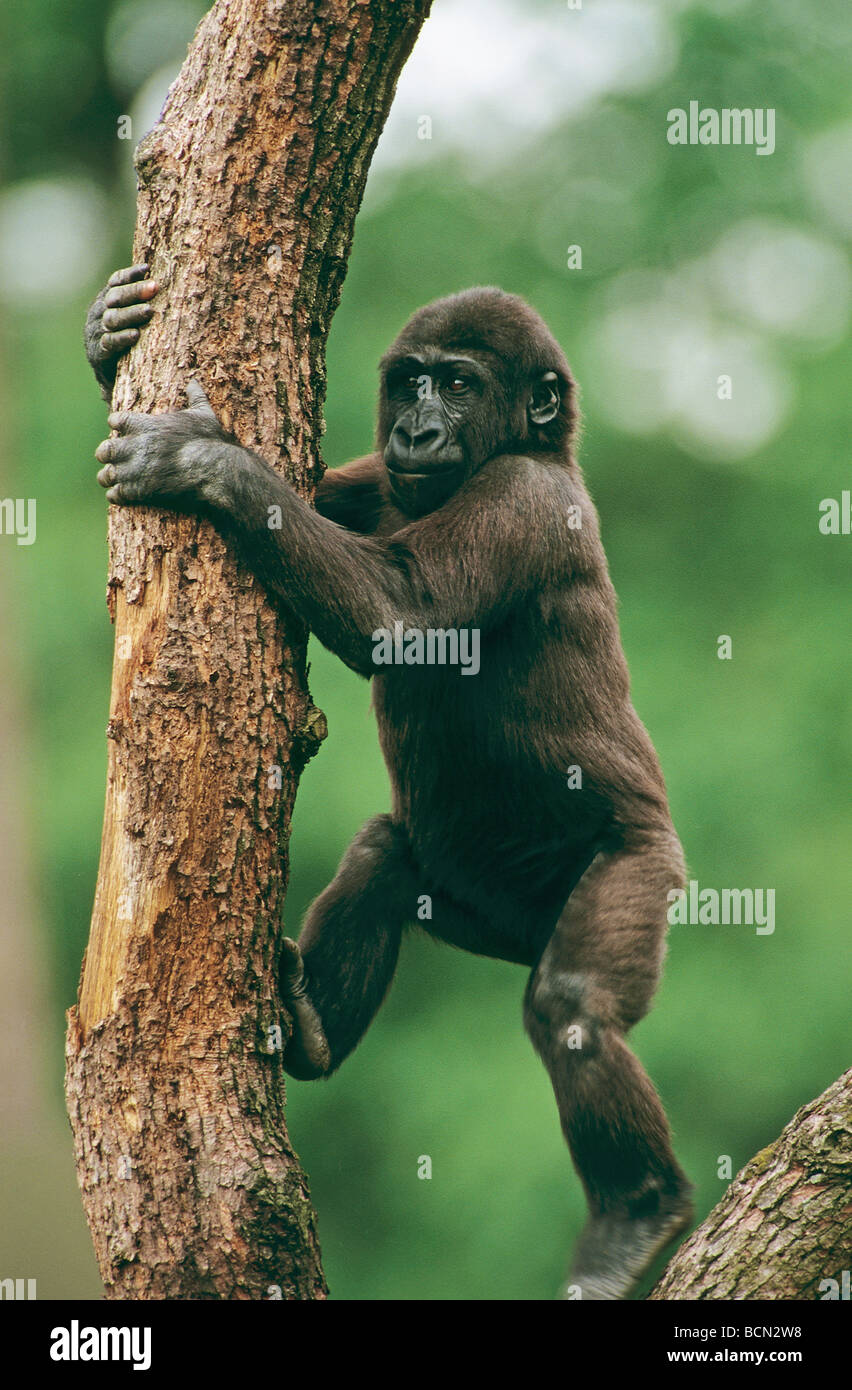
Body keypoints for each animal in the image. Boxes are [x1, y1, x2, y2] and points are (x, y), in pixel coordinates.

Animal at [85, 266, 693, 1299]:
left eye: (458, 385)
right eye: (409, 382)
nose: (417, 429)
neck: (529, 445)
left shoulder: (522, 499)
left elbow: (399, 619)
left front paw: (203, 460)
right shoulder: (374, 482)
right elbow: (319, 506)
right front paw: (103, 334)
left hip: (643, 867)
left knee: (572, 1003)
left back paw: (635, 1214)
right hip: (481, 910)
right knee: (384, 858)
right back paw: (314, 1030)